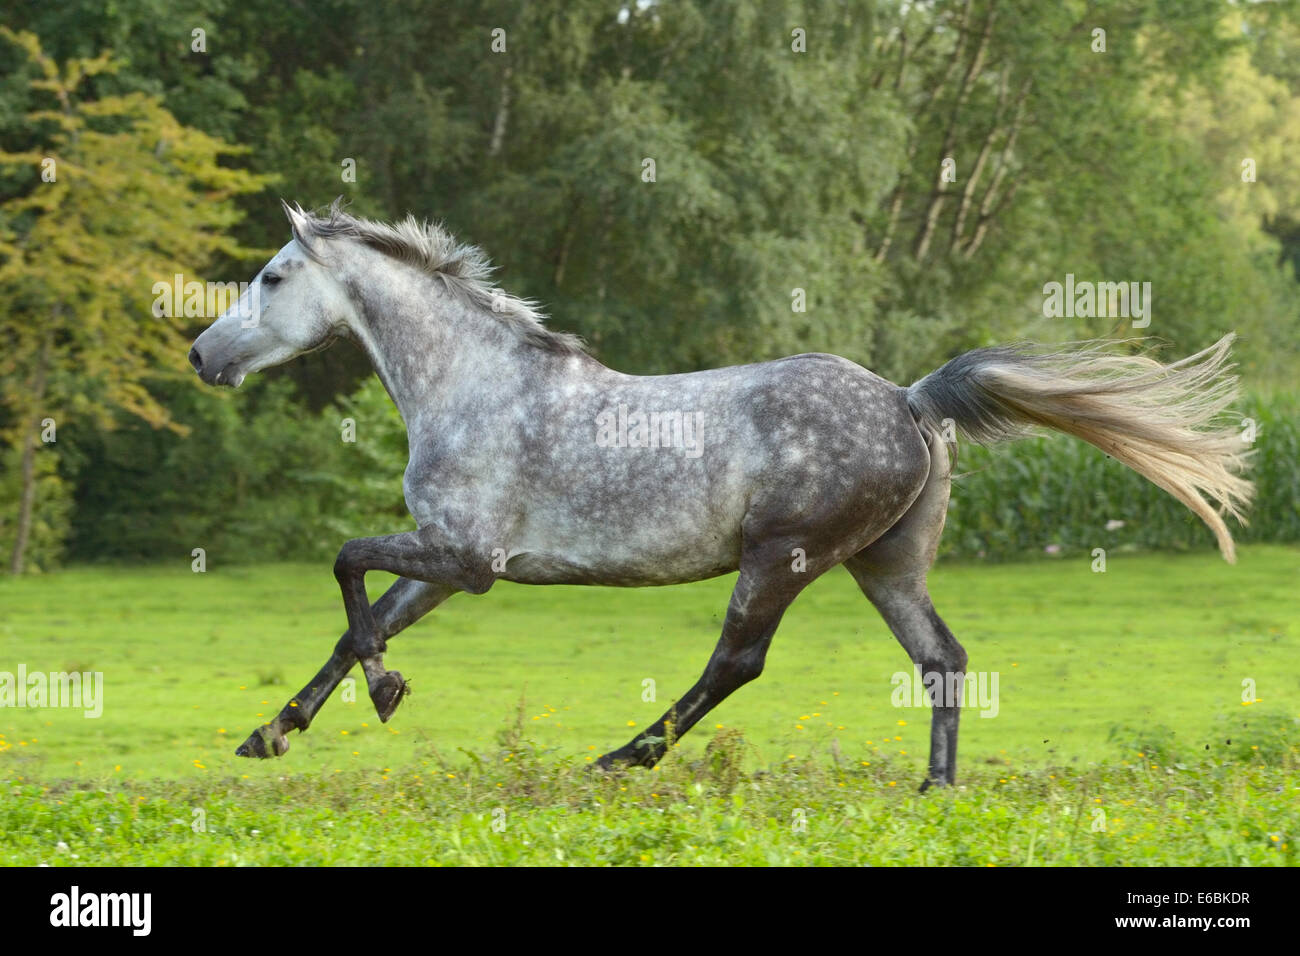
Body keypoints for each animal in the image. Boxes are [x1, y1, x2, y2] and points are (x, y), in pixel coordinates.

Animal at [188, 199, 1252, 789]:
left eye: (274, 275)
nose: (202, 355)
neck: (474, 385)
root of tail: (910, 401)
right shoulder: (444, 561)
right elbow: (356, 623)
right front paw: (272, 734)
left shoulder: (468, 560)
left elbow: (346, 569)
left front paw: (386, 694)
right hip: (886, 567)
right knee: (942, 660)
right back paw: (934, 791)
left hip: (780, 557)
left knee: (737, 661)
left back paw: (619, 760)